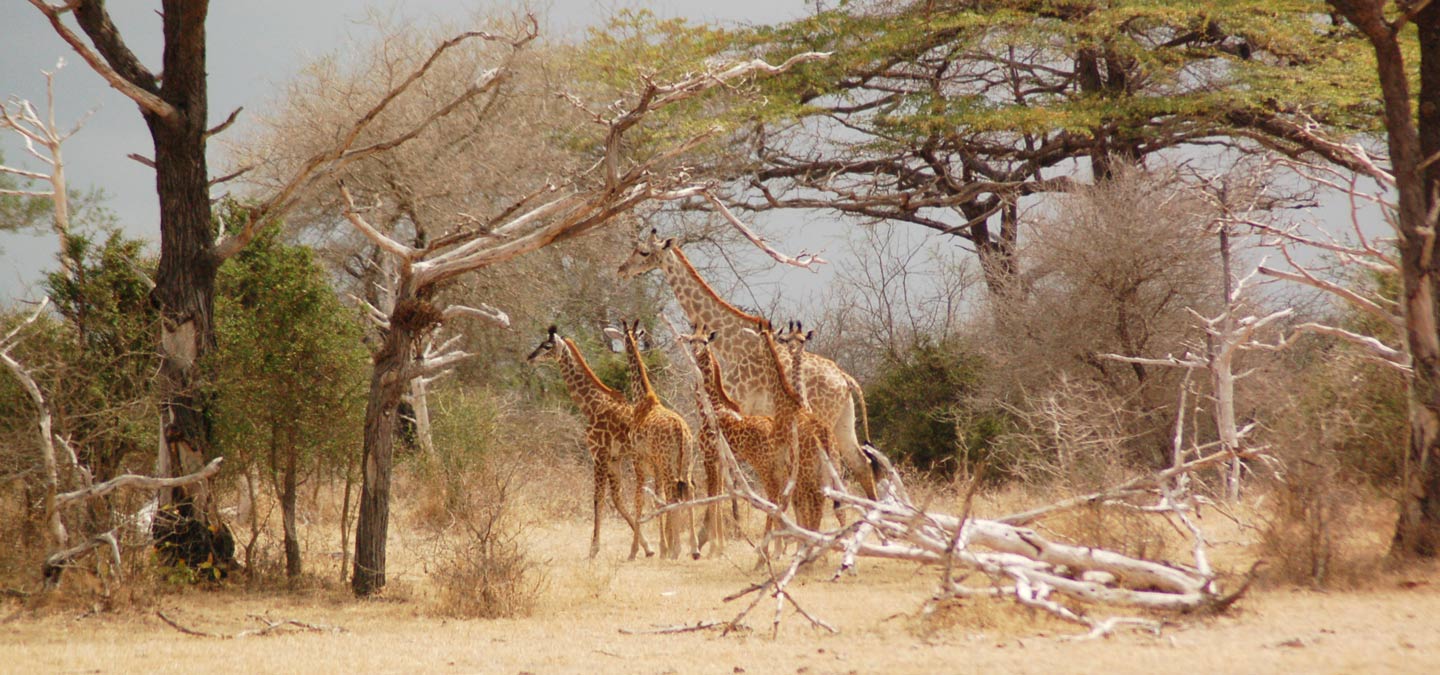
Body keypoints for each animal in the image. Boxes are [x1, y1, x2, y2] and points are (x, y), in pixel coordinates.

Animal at [526, 326, 654, 560]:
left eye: (547, 346)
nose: (530, 357)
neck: (591, 405)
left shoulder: (599, 454)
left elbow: (598, 498)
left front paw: (593, 549)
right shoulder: (612, 457)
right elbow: (616, 498)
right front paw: (647, 547)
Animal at [608, 320, 699, 560]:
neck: (643, 400)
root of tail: (680, 429)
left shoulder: (637, 460)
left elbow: (640, 498)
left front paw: (635, 551)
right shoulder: (655, 465)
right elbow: (656, 499)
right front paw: (662, 548)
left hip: (668, 463)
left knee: (673, 494)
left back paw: (678, 550)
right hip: (685, 461)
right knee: (688, 491)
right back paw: (693, 549)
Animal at [618, 231, 880, 501]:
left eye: (644, 252)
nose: (622, 269)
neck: (731, 343)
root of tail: (845, 379)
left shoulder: (738, 407)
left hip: (823, 419)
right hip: (843, 420)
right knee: (861, 464)